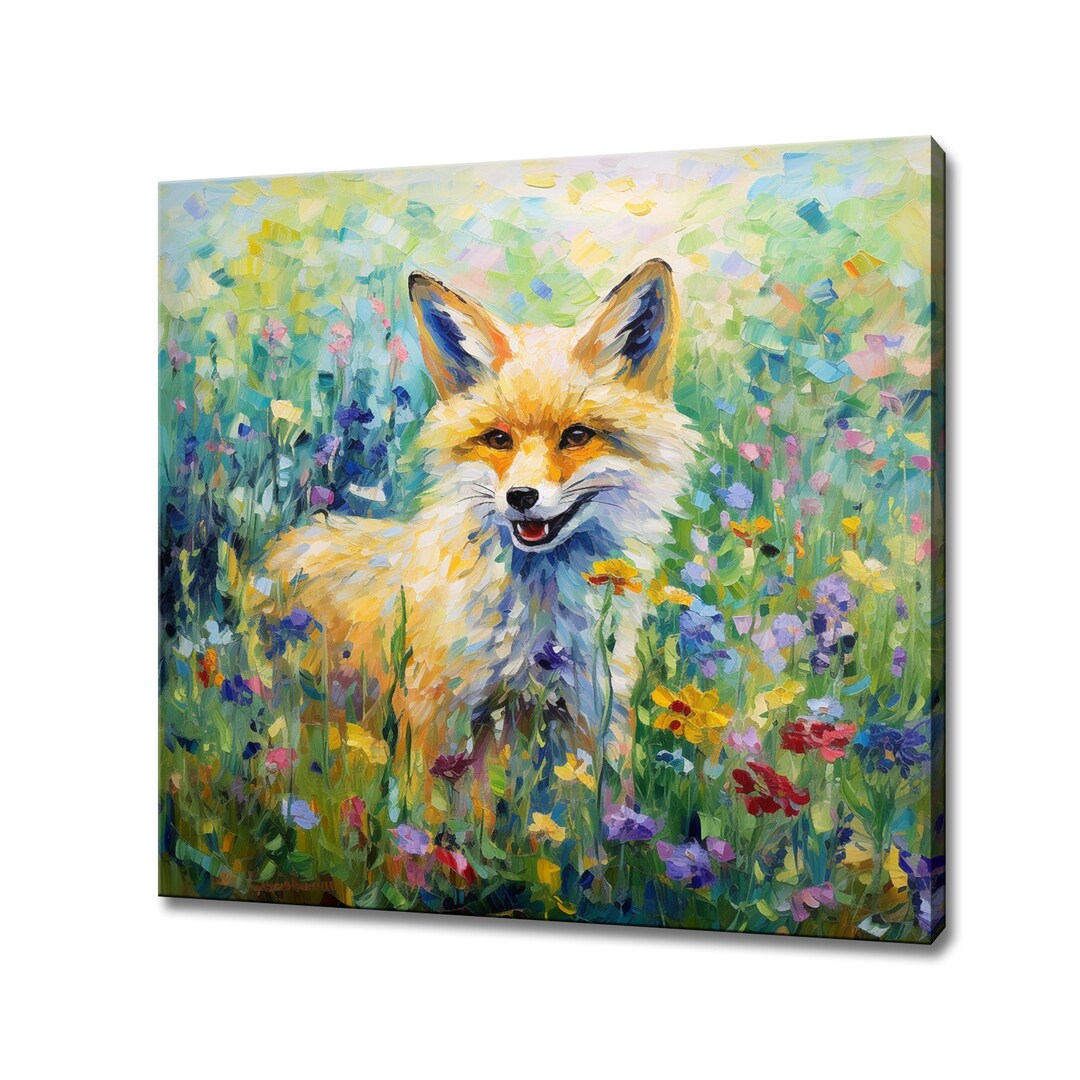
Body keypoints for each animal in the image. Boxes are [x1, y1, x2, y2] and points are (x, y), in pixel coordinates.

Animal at [253, 258, 700, 807]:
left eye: (577, 436)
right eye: (497, 439)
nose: (521, 497)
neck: (538, 629)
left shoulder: (591, 717)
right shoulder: (437, 719)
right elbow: (430, 817)